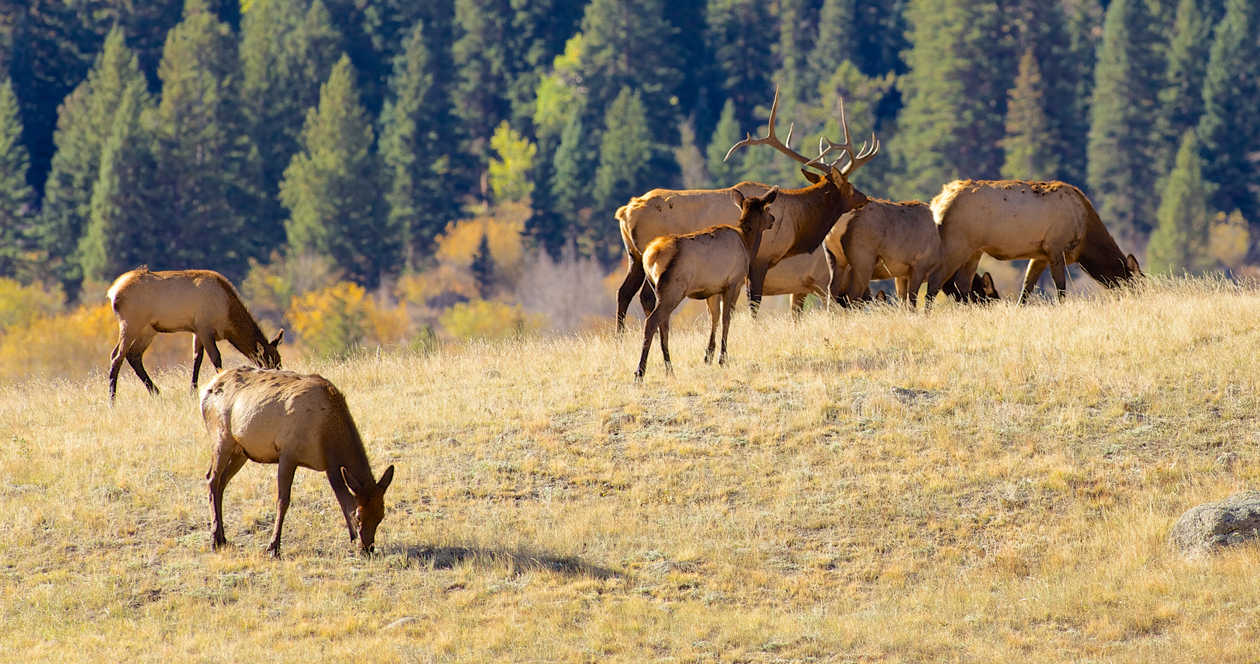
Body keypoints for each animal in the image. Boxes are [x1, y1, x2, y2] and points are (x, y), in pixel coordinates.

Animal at [106, 267, 283, 404]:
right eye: (269, 361)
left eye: (279, 360)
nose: (278, 378)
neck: (227, 315)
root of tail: (113, 291)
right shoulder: (204, 327)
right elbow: (215, 357)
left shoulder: (197, 331)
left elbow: (197, 359)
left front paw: (192, 392)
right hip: (131, 323)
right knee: (117, 356)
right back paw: (112, 401)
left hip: (148, 329)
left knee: (133, 355)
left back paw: (156, 392)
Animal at [201, 366, 396, 557]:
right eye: (359, 516)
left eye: (381, 516)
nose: (368, 548)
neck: (326, 436)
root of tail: (206, 389)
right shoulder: (288, 453)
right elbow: (283, 500)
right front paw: (273, 547)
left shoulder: (330, 467)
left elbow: (341, 498)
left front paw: (352, 538)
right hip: (221, 438)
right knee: (212, 479)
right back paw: (214, 540)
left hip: (241, 451)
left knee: (222, 482)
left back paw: (223, 537)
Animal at [616, 86, 878, 331]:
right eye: (850, 186)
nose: (864, 198)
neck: (797, 224)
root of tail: (625, 211)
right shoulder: (761, 258)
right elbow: (754, 300)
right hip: (650, 254)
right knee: (646, 295)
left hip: (634, 255)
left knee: (623, 292)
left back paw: (620, 337)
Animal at [635, 188, 778, 381]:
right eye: (768, 209)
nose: (773, 219)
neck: (747, 246)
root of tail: (650, 256)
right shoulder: (733, 282)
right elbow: (726, 319)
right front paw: (722, 359)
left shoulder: (712, 289)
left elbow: (713, 317)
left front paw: (708, 356)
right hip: (673, 289)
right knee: (652, 322)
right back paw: (640, 372)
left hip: (657, 287)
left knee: (663, 325)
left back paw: (669, 369)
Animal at [927, 180, 1142, 303]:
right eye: (1139, 285)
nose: (1143, 300)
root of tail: (937, 202)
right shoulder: (1056, 247)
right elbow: (1060, 287)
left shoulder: (1040, 254)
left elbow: (1027, 288)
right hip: (956, 244)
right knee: (935, 279)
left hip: (974, 250)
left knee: (962, 283)